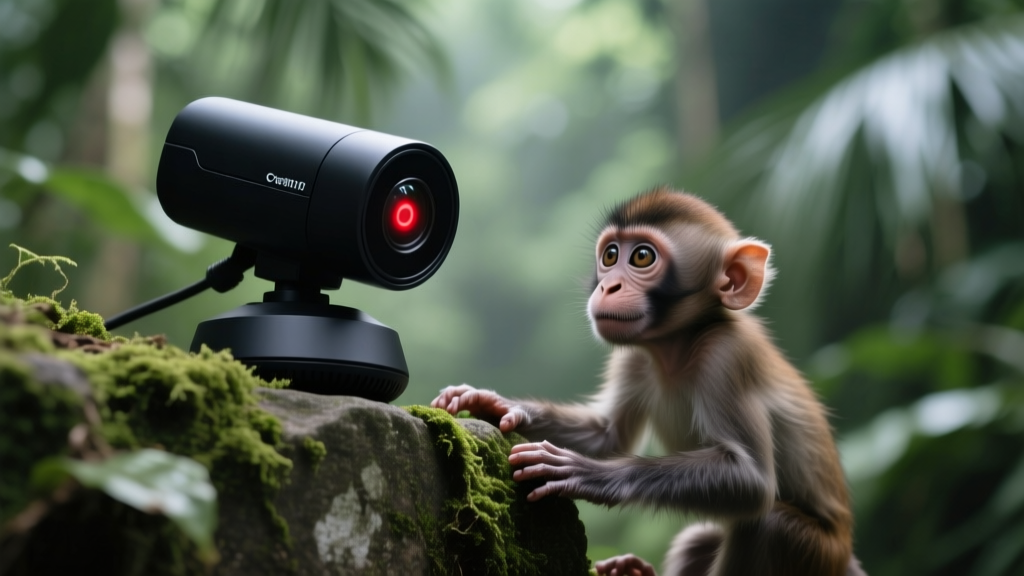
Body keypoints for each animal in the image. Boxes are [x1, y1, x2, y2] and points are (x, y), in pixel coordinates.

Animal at [431, 187, 866, 576]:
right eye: (610, 256)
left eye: (642, 256)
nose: (608, 286)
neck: (677, 347)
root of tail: (846, 552)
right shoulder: (633, 359)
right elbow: (609, 435)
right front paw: (495, 404)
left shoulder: (727, 356)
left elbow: (752, 482)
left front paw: (587, 474)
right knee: (697, 542)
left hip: (818, 553)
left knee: (770, 527)